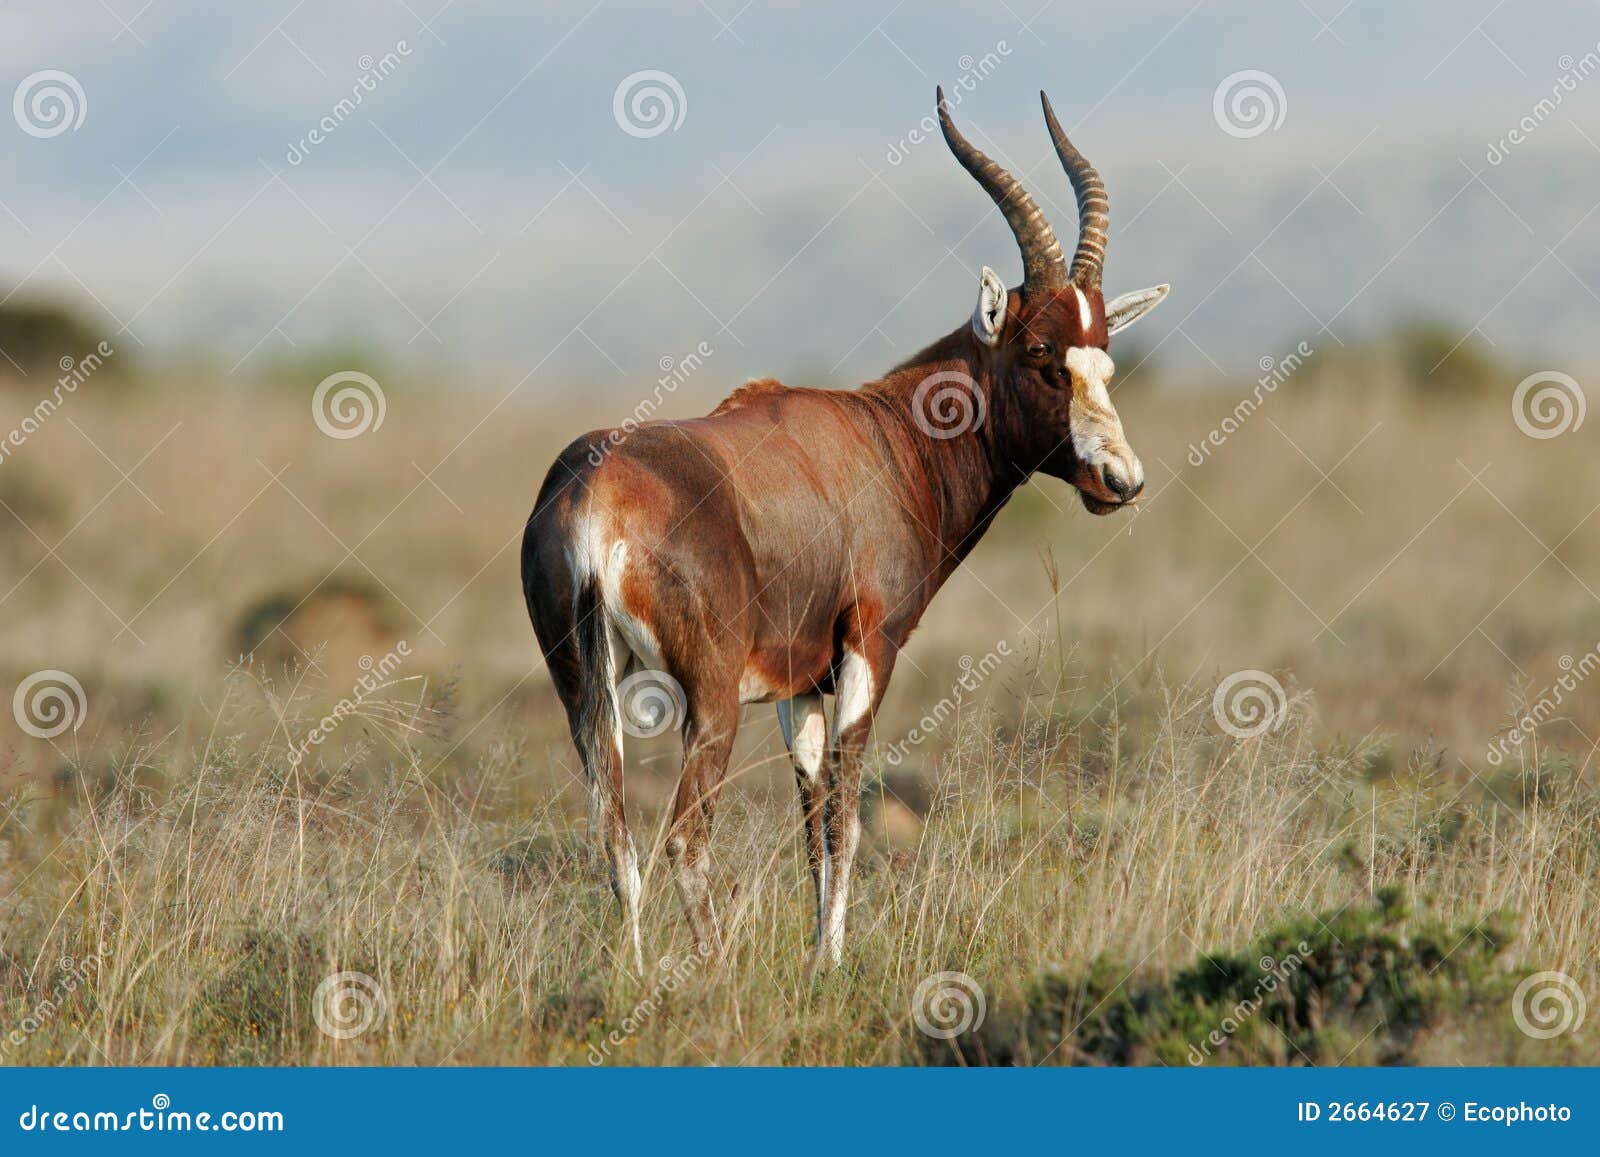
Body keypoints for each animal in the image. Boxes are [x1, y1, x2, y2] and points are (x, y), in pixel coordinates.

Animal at [521, 89, 1170, 970]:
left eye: (1103, 354)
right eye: (1040, 351)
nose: (1120, 481)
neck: (881, 436)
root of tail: (596, 495)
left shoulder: (800, 683)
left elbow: (810, 816)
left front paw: (814, 952)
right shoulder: (869, 646)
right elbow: (846, 814)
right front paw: (830, 962)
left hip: (585, 690)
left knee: (615, 836)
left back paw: (639, 970)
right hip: (708, 698)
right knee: (684, 837)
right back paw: (712, 971)